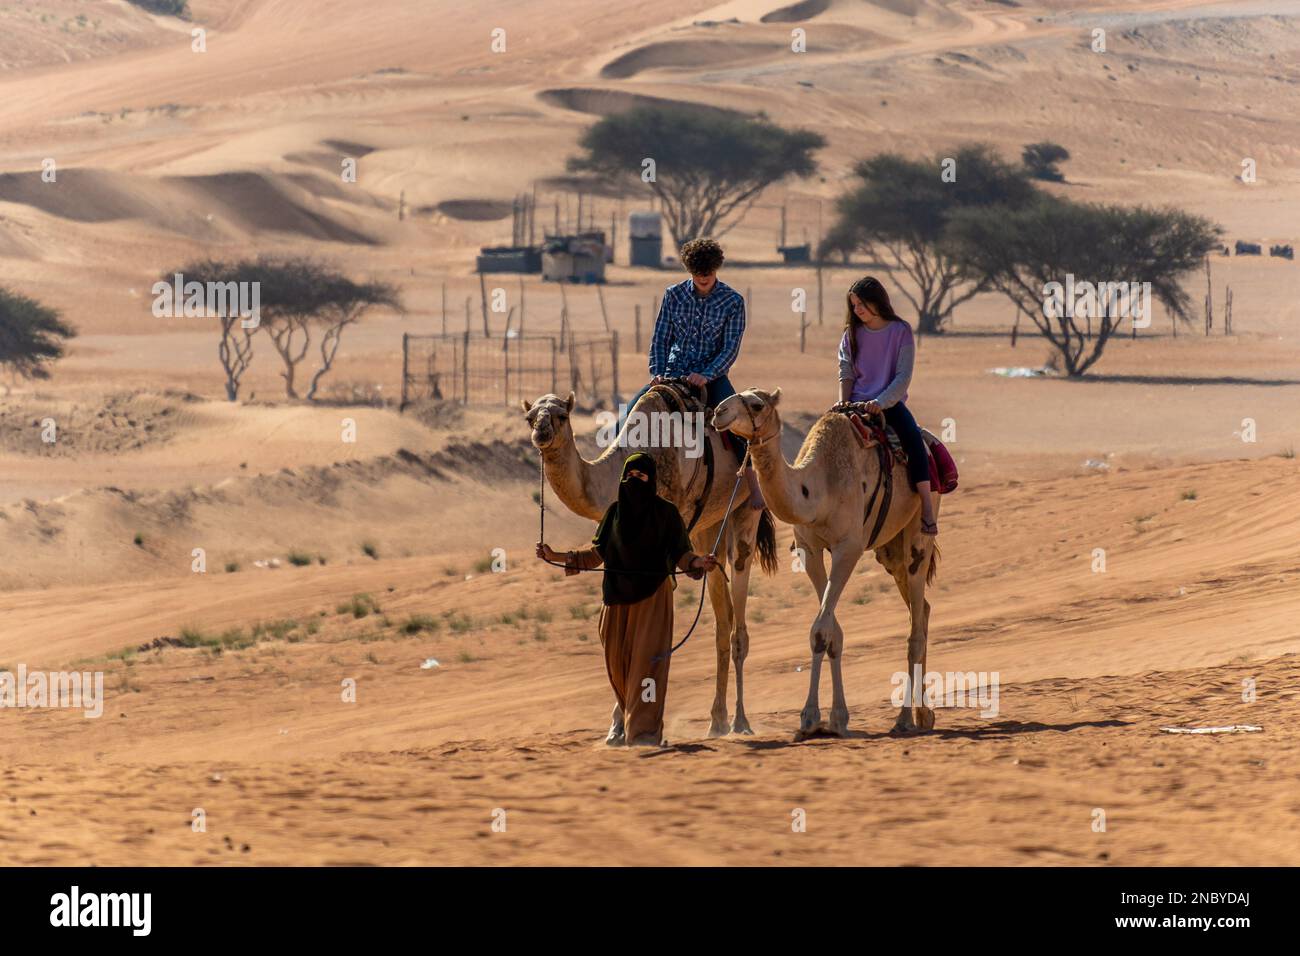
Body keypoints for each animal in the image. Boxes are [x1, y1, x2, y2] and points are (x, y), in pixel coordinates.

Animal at [712, 388, 940, 737]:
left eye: (756, 404)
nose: (718, 412)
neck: (816, 488)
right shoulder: (809, 549)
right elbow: (832, 631)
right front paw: (837, 717)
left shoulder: (848, 548)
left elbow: (820, 630)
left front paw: (809, 717)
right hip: (890, 548)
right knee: (922, 610)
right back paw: (923, 714)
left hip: (920, 528)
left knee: (915, 627)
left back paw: (905, 719)